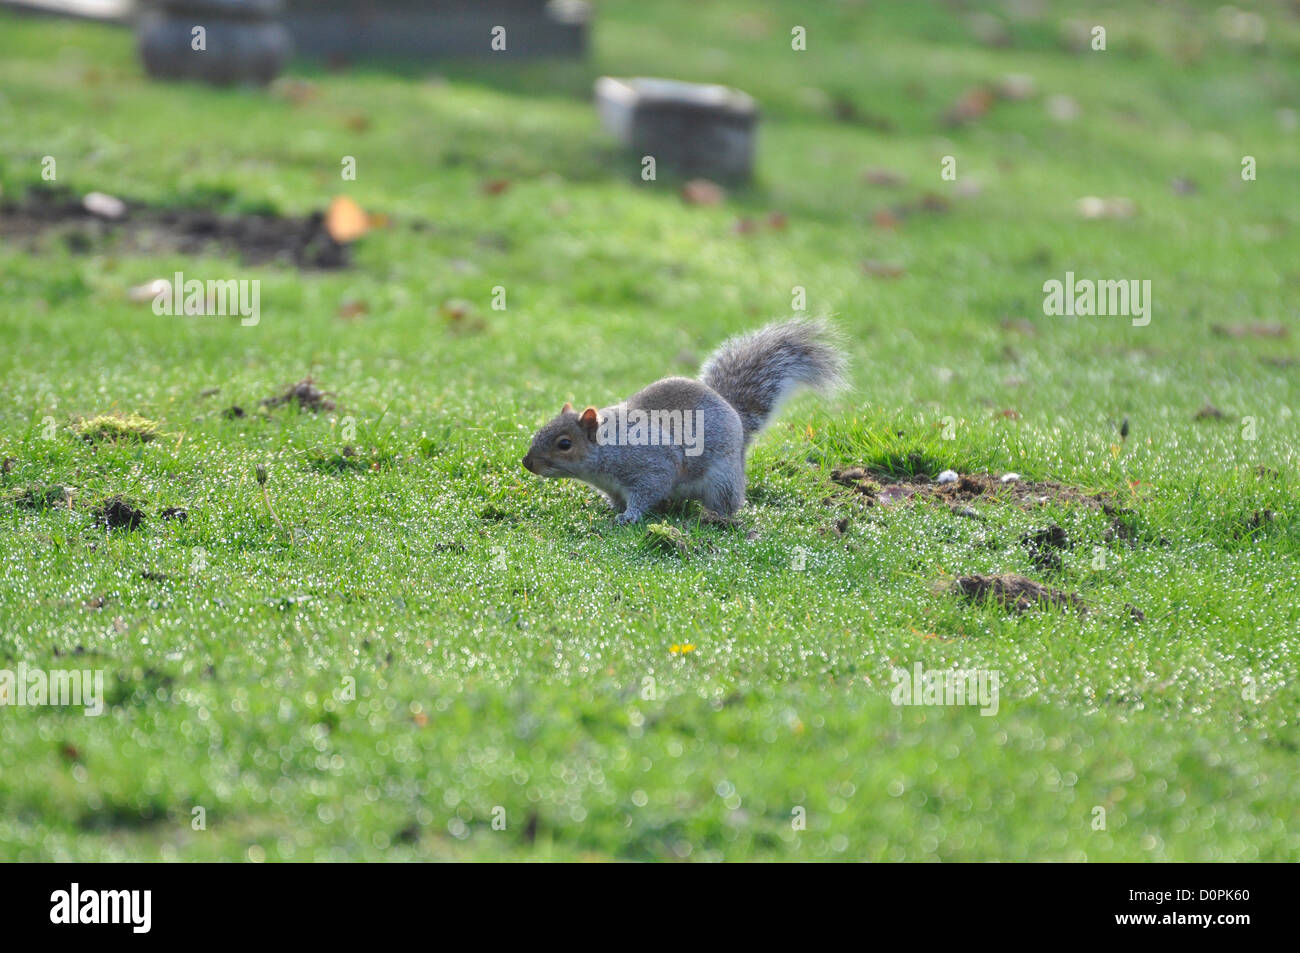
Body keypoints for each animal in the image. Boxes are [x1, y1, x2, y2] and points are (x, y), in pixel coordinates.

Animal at [522, 318, 847, 524]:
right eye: (540, 430)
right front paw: (612, 510)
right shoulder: (613, 486)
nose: (527, 463)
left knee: (726, 503)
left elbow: (647, 492)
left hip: (722, 479)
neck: (608, 449)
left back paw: (715, 517)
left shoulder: (651, 466)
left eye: (565, 444)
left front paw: (629, 516)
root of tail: (737, 419)